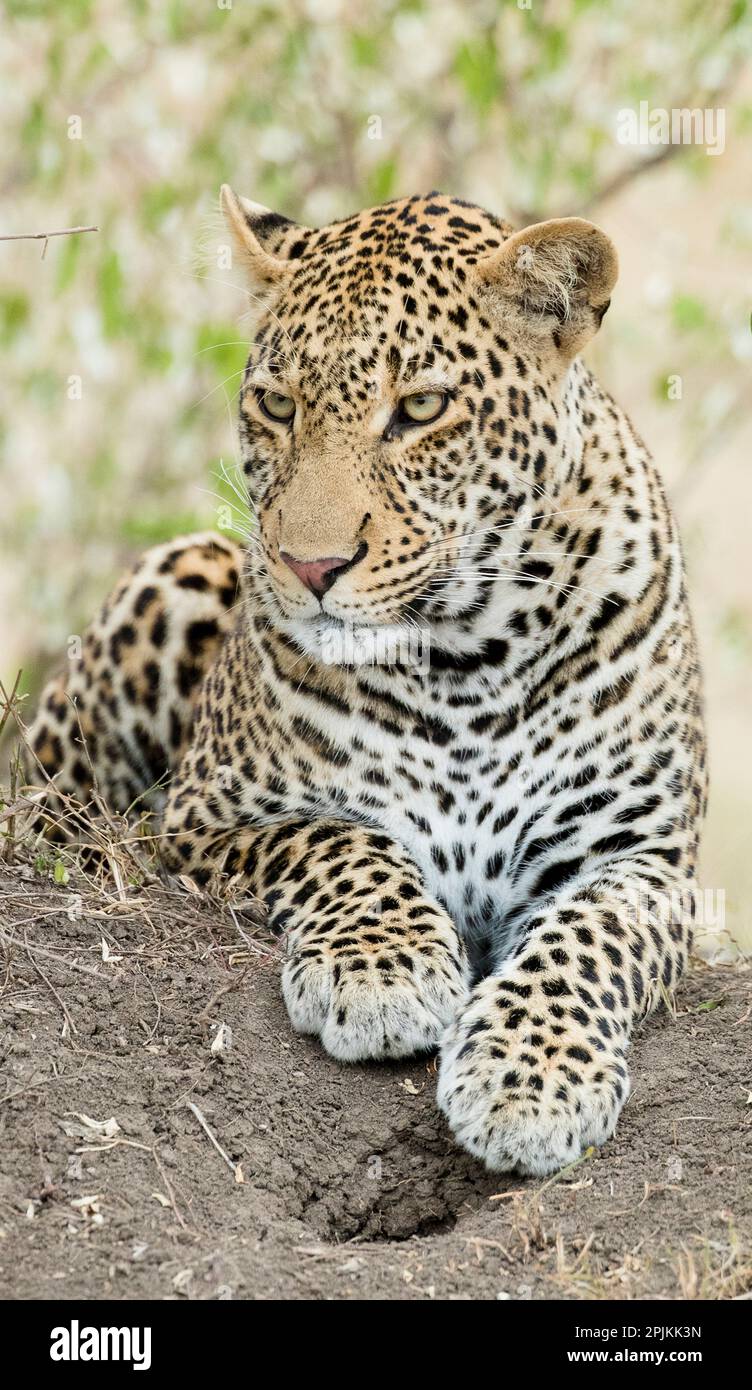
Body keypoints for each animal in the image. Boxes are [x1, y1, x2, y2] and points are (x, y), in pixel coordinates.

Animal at [26, 189, 707, 1176]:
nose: (310, 566)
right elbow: (341, 841)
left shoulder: (645, 860)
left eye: (420, 408)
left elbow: (587, 940)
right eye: (277, 405)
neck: (467, 661)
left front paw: (529, 1080)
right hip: (175, 577)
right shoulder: (206, 817)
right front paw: (383, 973)